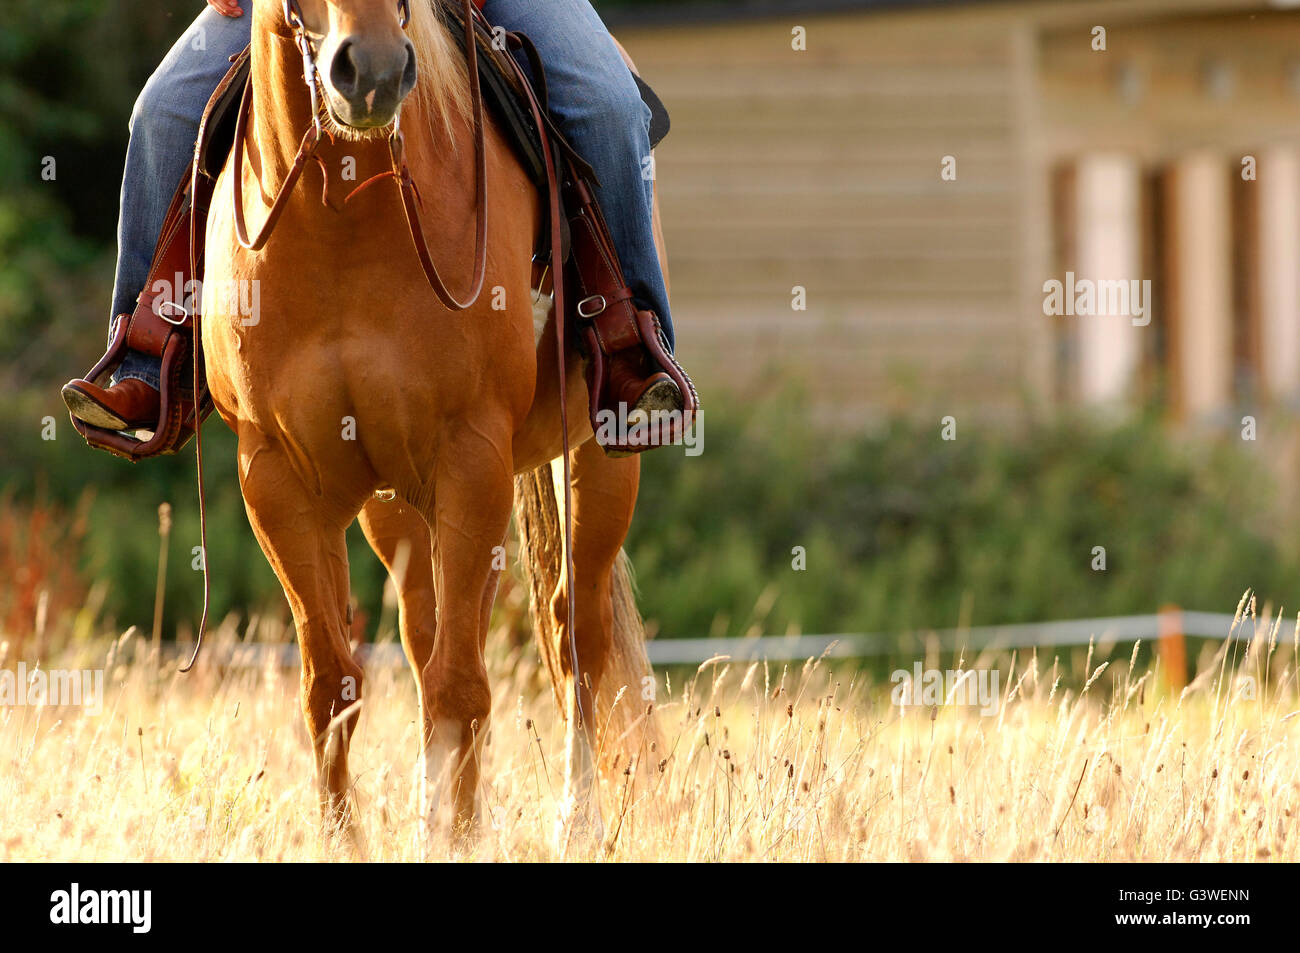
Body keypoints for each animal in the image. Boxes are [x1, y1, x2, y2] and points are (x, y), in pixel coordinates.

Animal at [199, 0, 667, 846]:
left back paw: (574, 823)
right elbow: (332, 685)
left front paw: (455, 840)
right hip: (401, 505)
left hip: (595, 458)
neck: (343, 217)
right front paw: (349, 843)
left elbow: (461, 684)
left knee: (573, 634)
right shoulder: (276, 478)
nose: (375, 72)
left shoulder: (471, 455)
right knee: (431, 638)